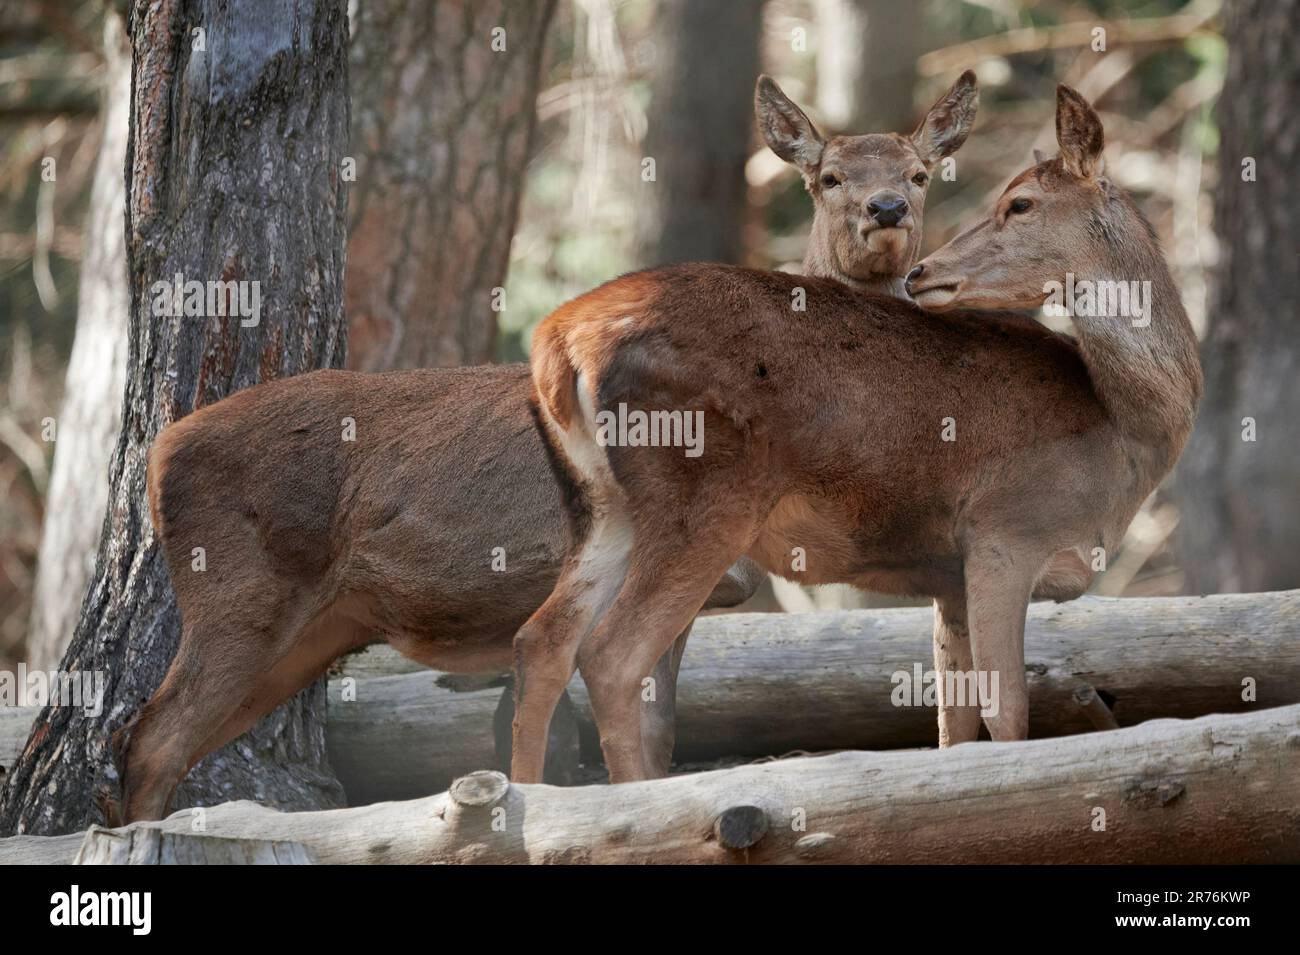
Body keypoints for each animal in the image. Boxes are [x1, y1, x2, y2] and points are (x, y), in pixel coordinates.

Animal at [112, 73, 978, 823]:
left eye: (920, 171)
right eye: (828, 176)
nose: (887, 208)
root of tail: (158, 453)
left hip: (312, 631)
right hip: (239, 592)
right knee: (153, 735)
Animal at [512, 84, 1202, 785]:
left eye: (1020, 203)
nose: (924, 271)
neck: (1122, 438)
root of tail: (558, 339)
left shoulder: (949, 575)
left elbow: (953, 728)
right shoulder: (1004, 533)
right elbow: (1008, 716)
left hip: (603, 506)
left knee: (541, 639)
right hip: (705, 495)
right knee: (612, 655)